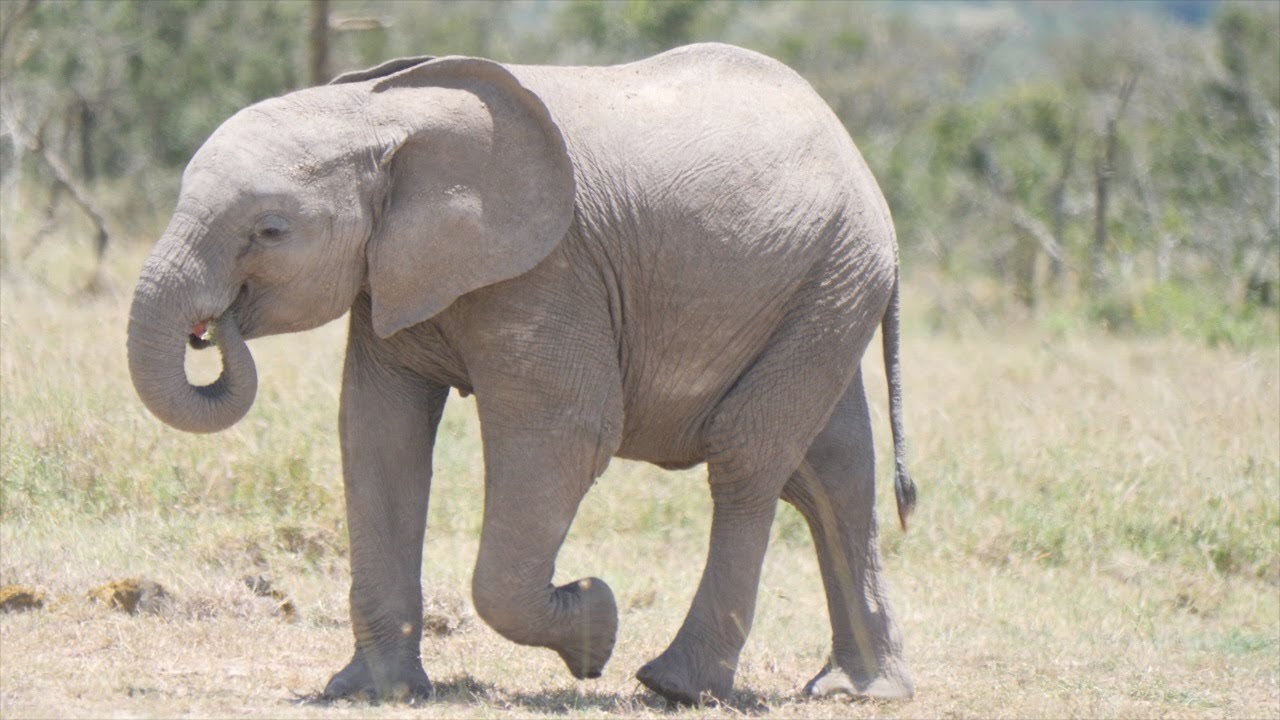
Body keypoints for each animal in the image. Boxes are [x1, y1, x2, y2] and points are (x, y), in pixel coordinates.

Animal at [126, 43, 918, 705]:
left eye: (269, 232)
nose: (213, 328)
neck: (382, 113)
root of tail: (855, 156)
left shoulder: (549, 273)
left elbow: (566, 436)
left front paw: (596, 623)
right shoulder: (394, 276)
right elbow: (378, 434)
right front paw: (373, 692)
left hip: (832, 277)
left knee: (749, 461)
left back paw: (676, 686)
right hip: (825, 287)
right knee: (831, 474)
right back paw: (860, 690)